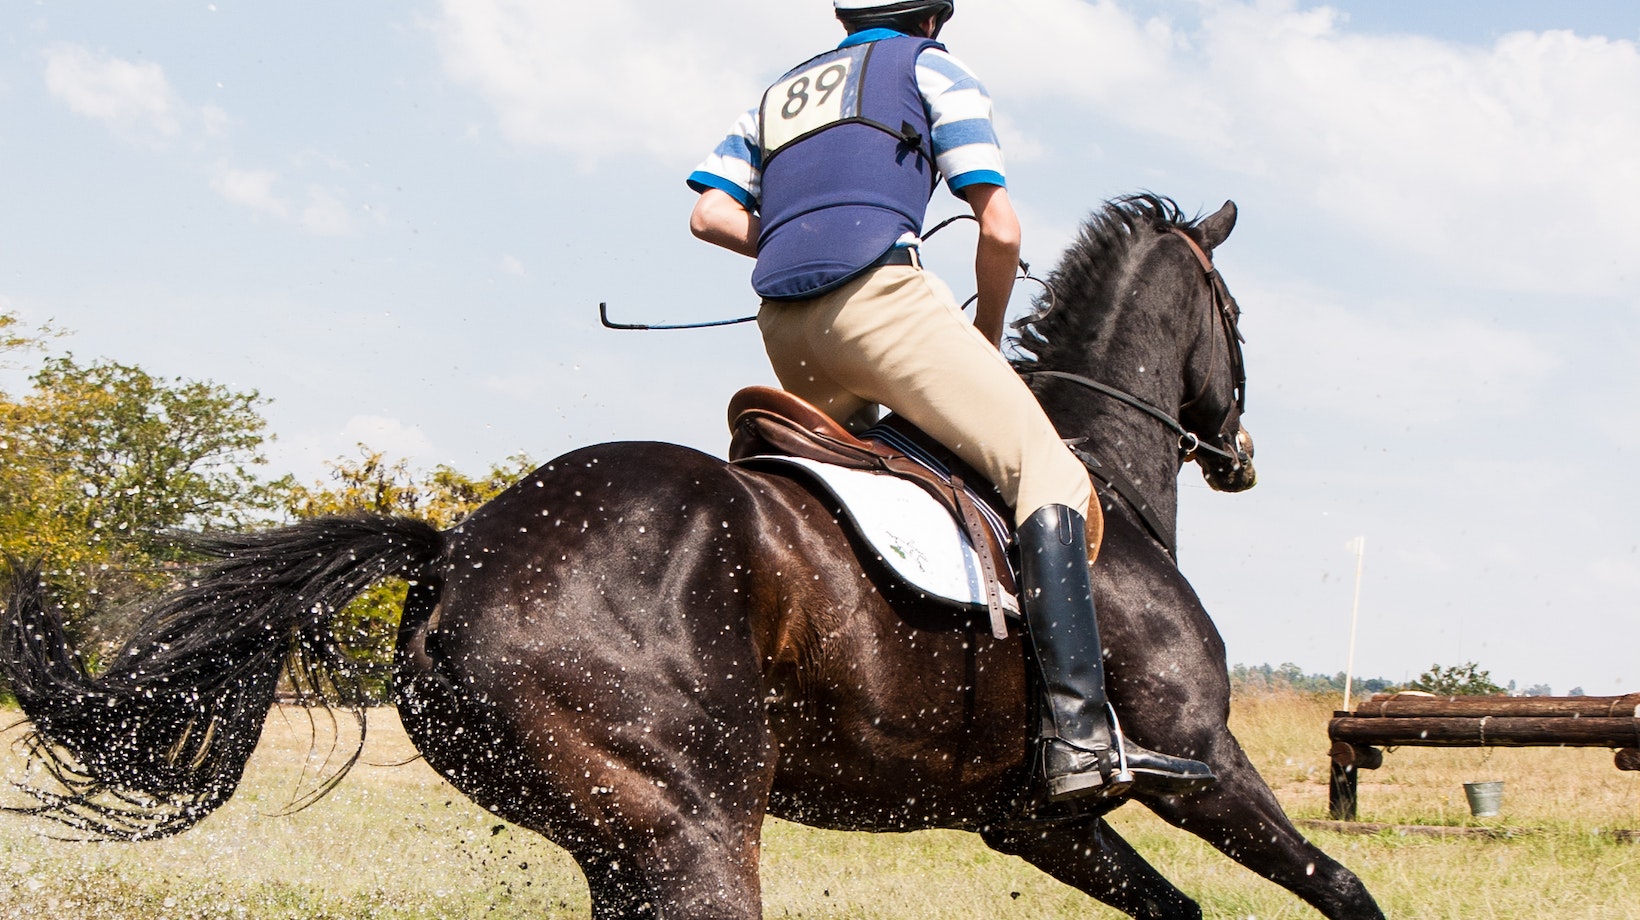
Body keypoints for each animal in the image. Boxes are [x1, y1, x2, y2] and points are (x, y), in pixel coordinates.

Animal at [1, 194, 1384, 919]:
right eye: (1236, 318)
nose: (1238, 450)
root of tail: (460, 552)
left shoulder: (1025, 817)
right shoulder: (1198, 763)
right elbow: (1336, 883)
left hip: (621, 837)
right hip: (692, 823)